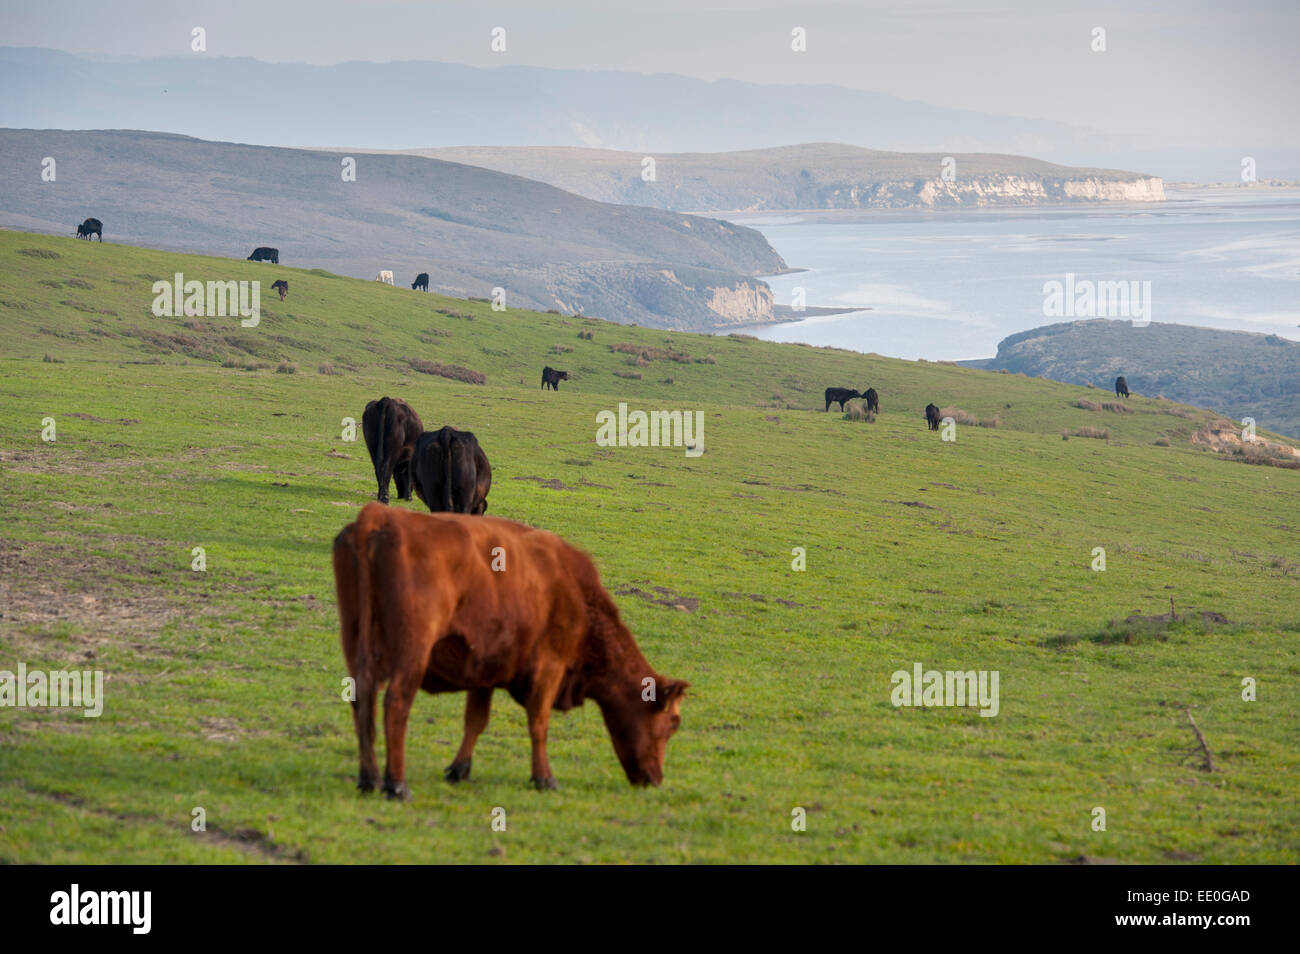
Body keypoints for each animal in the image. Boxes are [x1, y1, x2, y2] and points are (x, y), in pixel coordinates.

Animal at [332, 503, 689, 796]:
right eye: (673, 723)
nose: (656, 779)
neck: (575, 591)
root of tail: (380, 516)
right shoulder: (549, 667)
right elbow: (539, 723)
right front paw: (544, 778)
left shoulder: (485, 670)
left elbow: (476, 721)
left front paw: (460, 769)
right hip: (411, 655)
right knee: (395, 705)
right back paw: (396, 785)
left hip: (356, 648)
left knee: (362, 702)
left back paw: (369, 779)